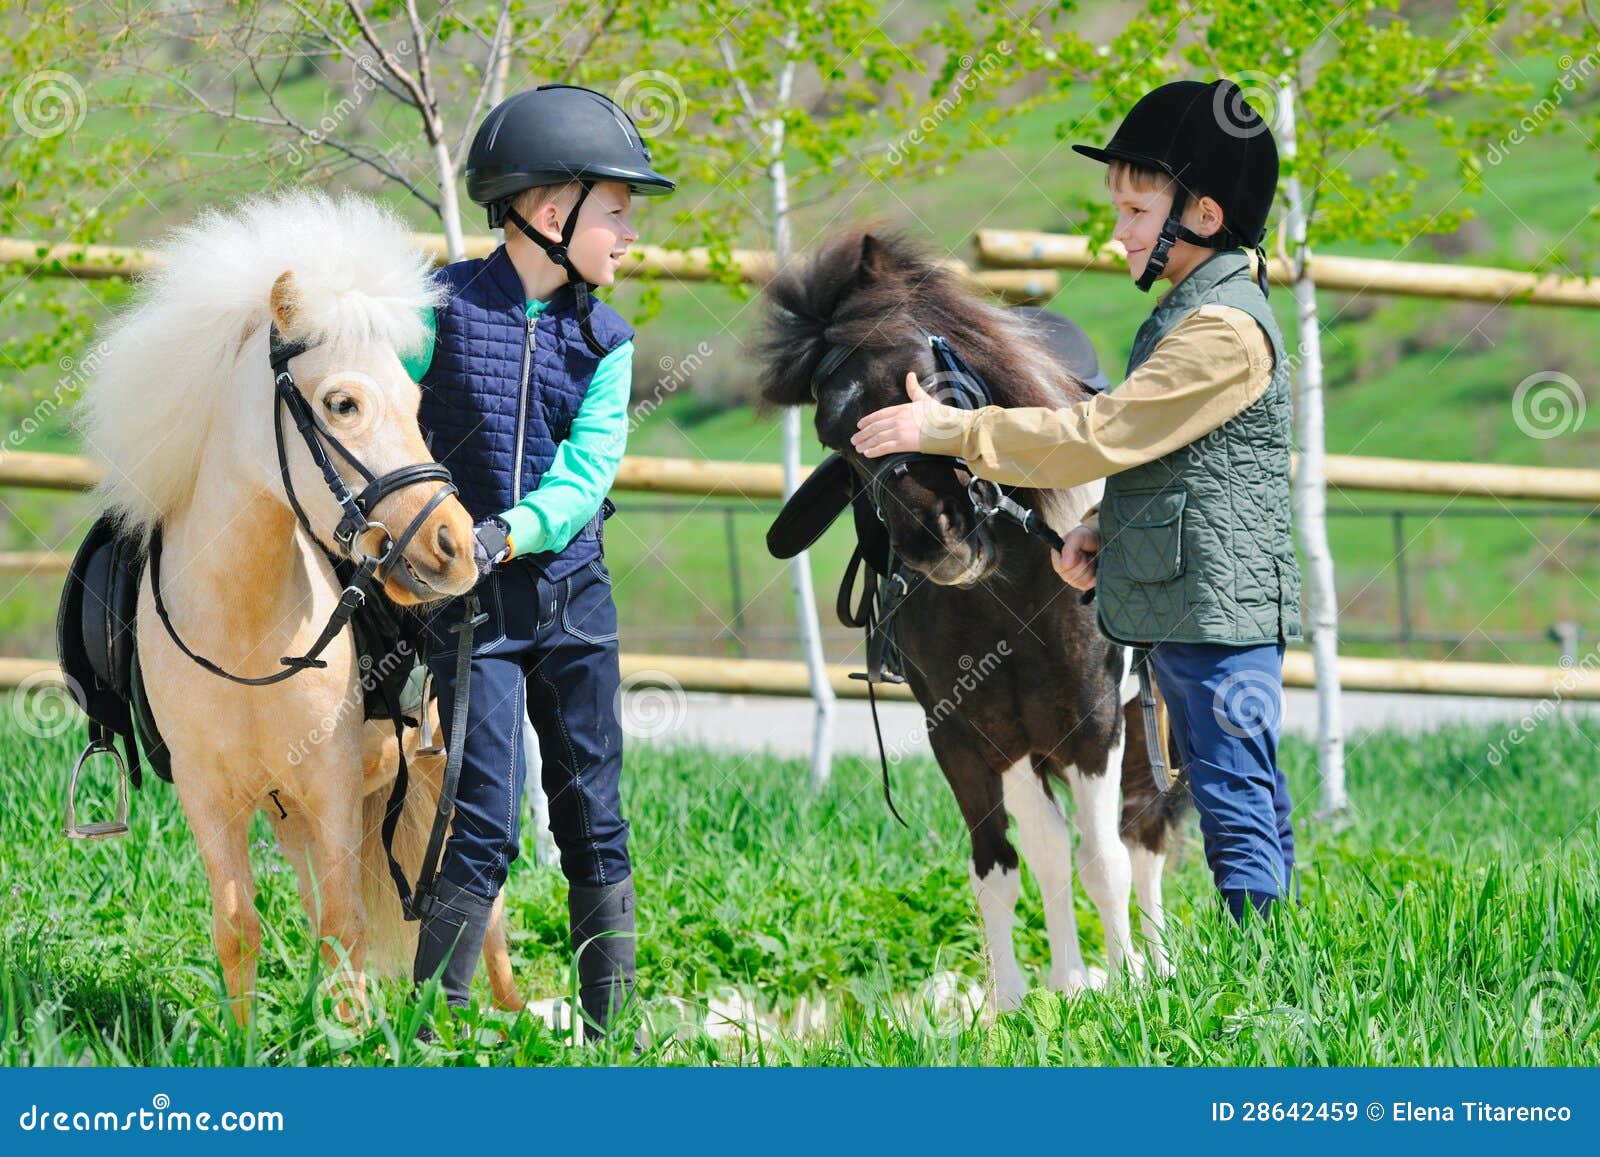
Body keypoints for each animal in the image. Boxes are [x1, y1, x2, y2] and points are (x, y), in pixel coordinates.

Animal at [77, 190, 522, 1023]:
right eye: (342, 402)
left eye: (415, 401)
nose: (453, 545)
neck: (247, 637)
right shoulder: (212, 800)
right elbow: (240, 928)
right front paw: (249, 1038)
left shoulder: (333, 787)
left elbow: (346, 924)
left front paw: (351, 1037)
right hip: (295, 819)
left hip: (427, 777)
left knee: (487, 914)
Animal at [756, 229, 1188, 1008]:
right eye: (832, 434)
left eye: (926, 376)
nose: (936, 539)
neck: (1007, 590)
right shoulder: (973, 731)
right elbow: (1013, 861)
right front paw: (1031, 998)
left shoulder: (1093, 720)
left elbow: (1102, 856)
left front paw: (1128, 987)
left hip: (1148, 721)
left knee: (1143, 834)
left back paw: (1156, 964)